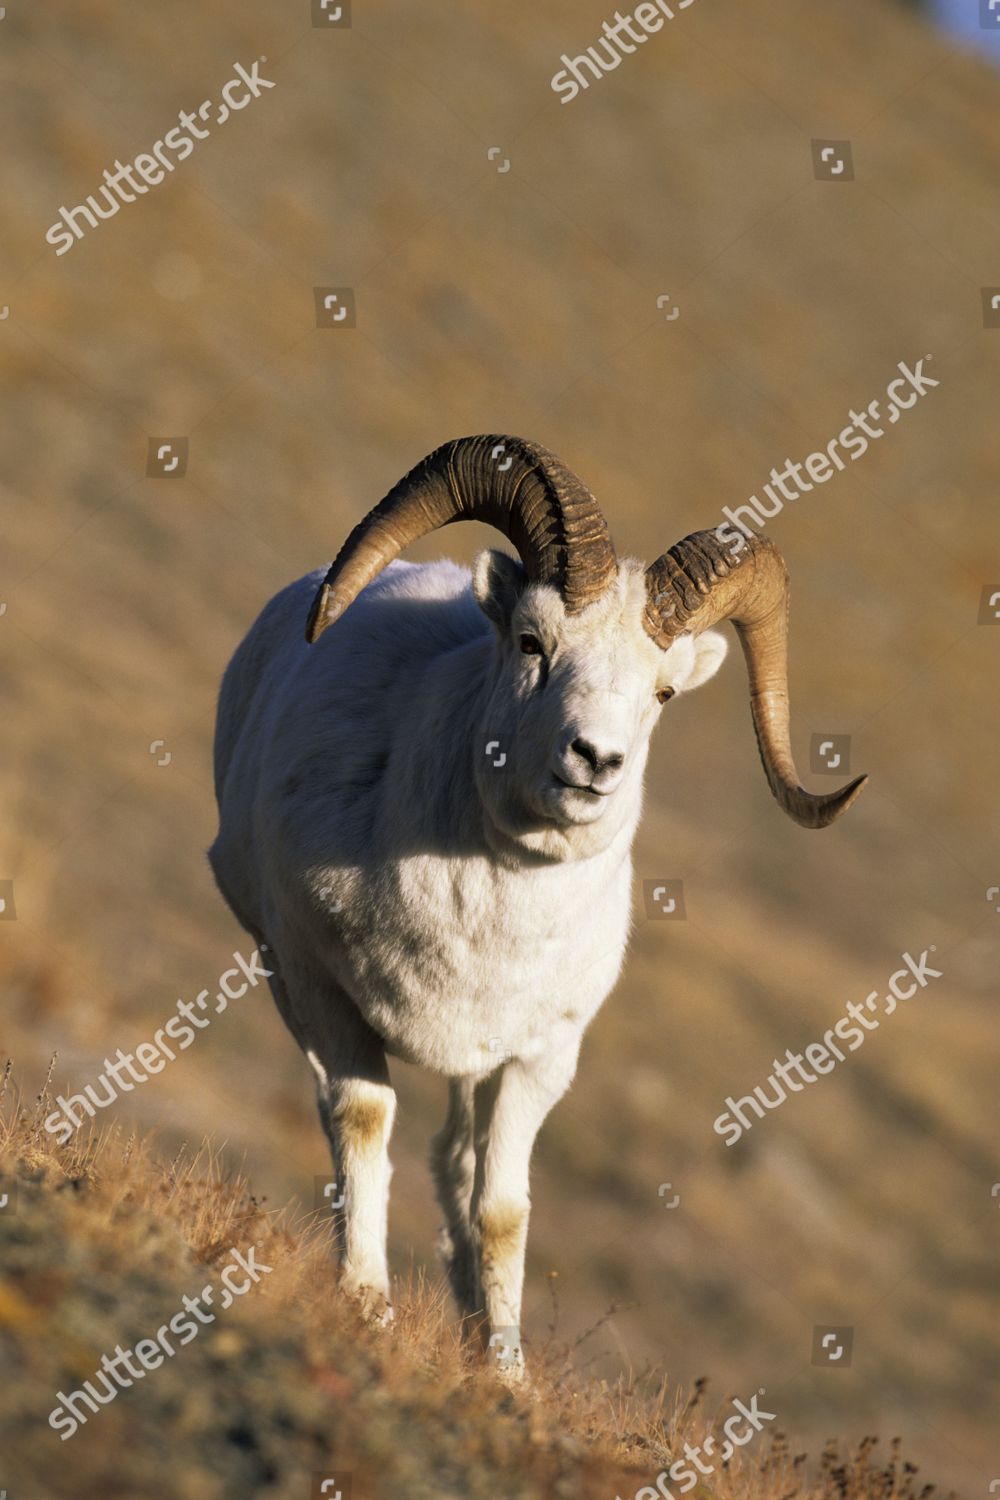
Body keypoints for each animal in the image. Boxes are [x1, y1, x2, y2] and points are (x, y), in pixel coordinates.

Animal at [208, 434, 865, 1377]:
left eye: (663, 692)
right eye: (532, 643)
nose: (596, 760)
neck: (474, 924)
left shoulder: (539, 1059)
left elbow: (501, 1209)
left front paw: (507, 1374)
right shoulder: (322, 991)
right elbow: (362, 1124)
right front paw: (365, 1303)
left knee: (456, 1163)